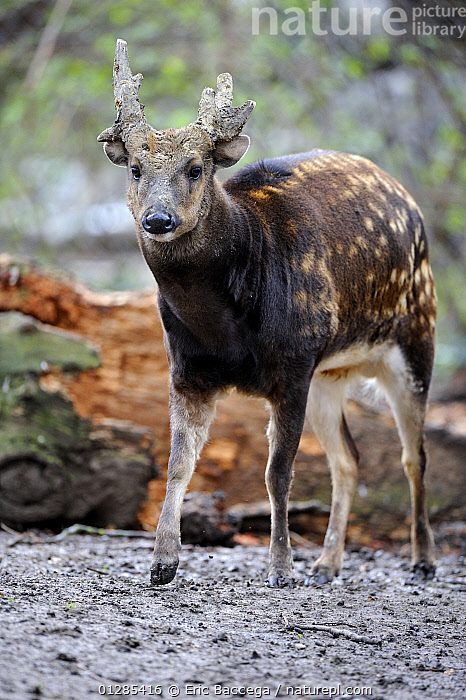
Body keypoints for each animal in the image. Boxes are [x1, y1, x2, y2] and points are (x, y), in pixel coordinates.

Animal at [98, 40, 437, 587]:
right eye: (135, 169)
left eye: (196, 168)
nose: (158, 219)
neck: (225, 327)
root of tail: (402, 192)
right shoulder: (187, 368)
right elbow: (177, 464)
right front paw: (163, 563)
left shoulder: (293, 363)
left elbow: (278, 472)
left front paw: (279, 567)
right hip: (330, 372)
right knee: (349, 459)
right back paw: (326, 564)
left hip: (416, 336)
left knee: (414, 455)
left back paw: (422, 559)